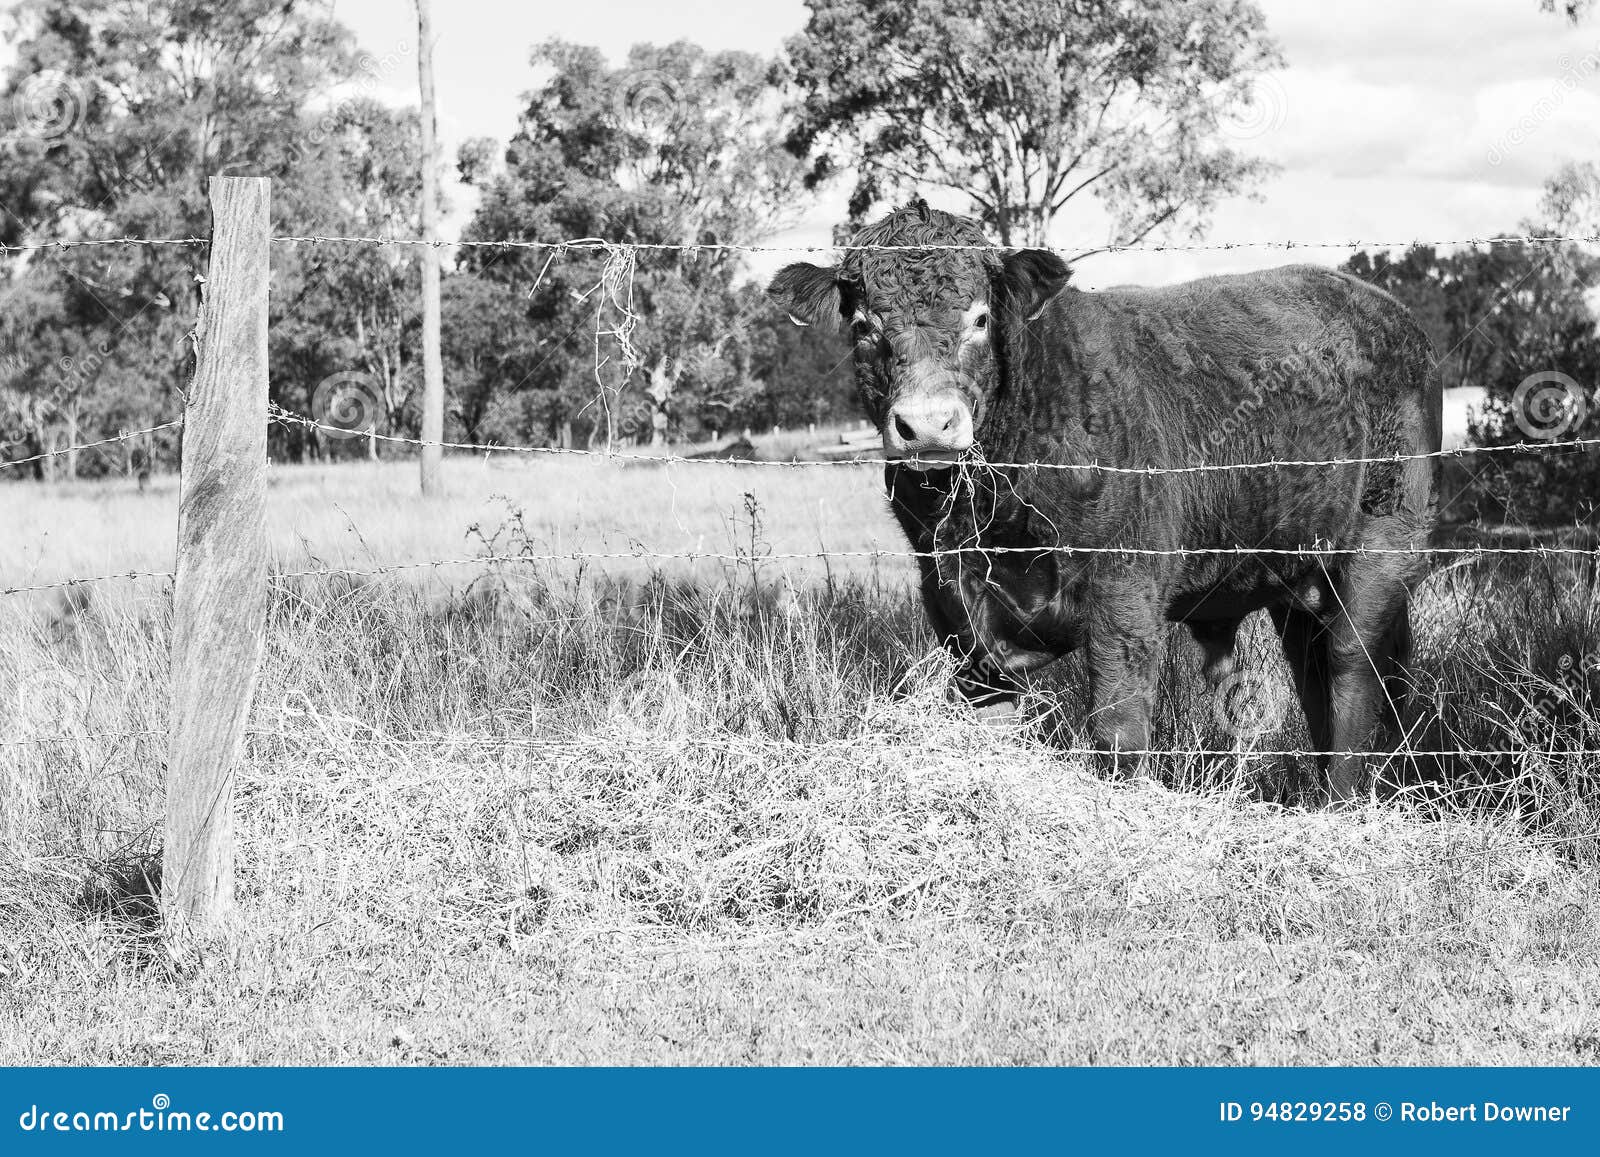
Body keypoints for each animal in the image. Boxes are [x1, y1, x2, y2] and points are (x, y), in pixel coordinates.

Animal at [768, 200, 1441, 805]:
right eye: (864, 327)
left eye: (981, 319)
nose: (928, 425)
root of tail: (1376, 302)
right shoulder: (956, 609)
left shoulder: (1125, 596)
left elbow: (1117, 734)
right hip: (1297, 570)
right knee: (1318, 671)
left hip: (1383, 540)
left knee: (1354, 666)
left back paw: (1342, 804)